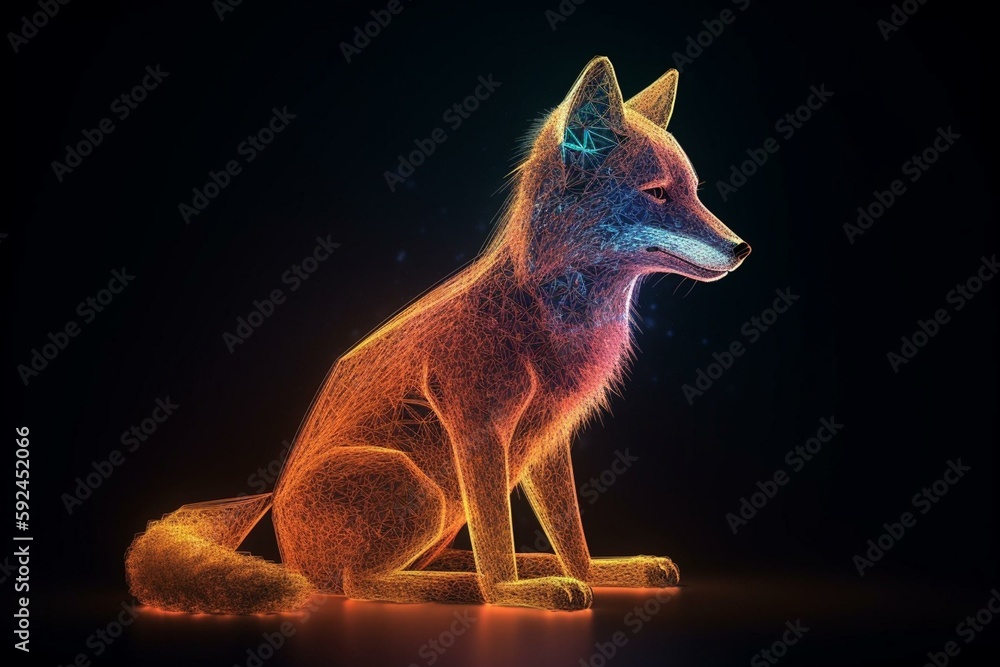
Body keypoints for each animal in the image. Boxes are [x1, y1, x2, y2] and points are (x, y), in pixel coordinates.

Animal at [125, 56, 751, 613]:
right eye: (658, 193)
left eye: (694, 191)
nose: (741, 248)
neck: (551, 320)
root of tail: (284, 550)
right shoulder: (478, 425)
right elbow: (498, 548)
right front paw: (512, 595)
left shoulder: (548, 441)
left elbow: (569, 539)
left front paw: (587, 574)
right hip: (418, 487)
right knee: (359, 586)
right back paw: (474, 587)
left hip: (443, 511)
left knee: (442, 560)